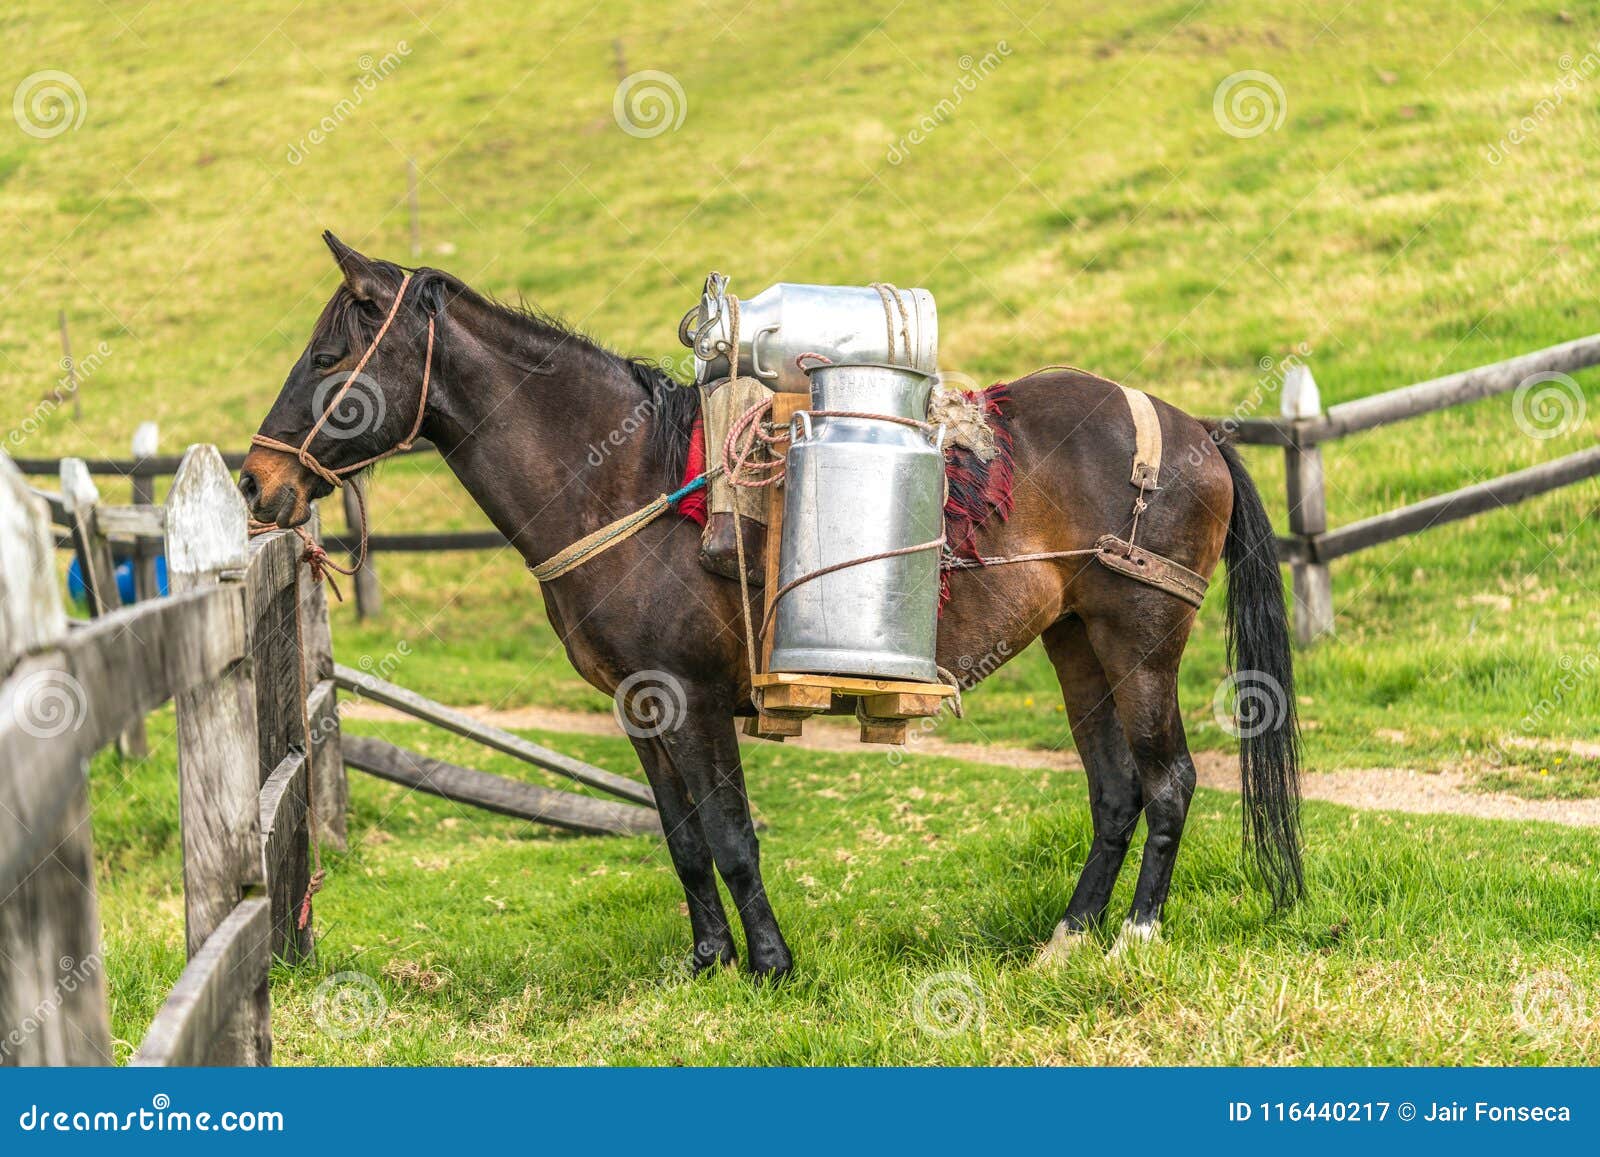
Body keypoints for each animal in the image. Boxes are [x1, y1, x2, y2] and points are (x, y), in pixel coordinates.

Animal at [240, 232, 1301, 979]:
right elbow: (680, 840)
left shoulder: (695, 698)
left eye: (330, 353)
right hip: (1077, 641)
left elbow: (731, 834)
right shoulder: (639, 706)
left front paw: (770, 963)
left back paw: (1135, 936)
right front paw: (706, 961)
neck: (621, 478)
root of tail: (1195, 431)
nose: (257, 482)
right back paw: (1068, 937)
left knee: (1169, 783)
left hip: (1142, 641)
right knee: (1116, 790)